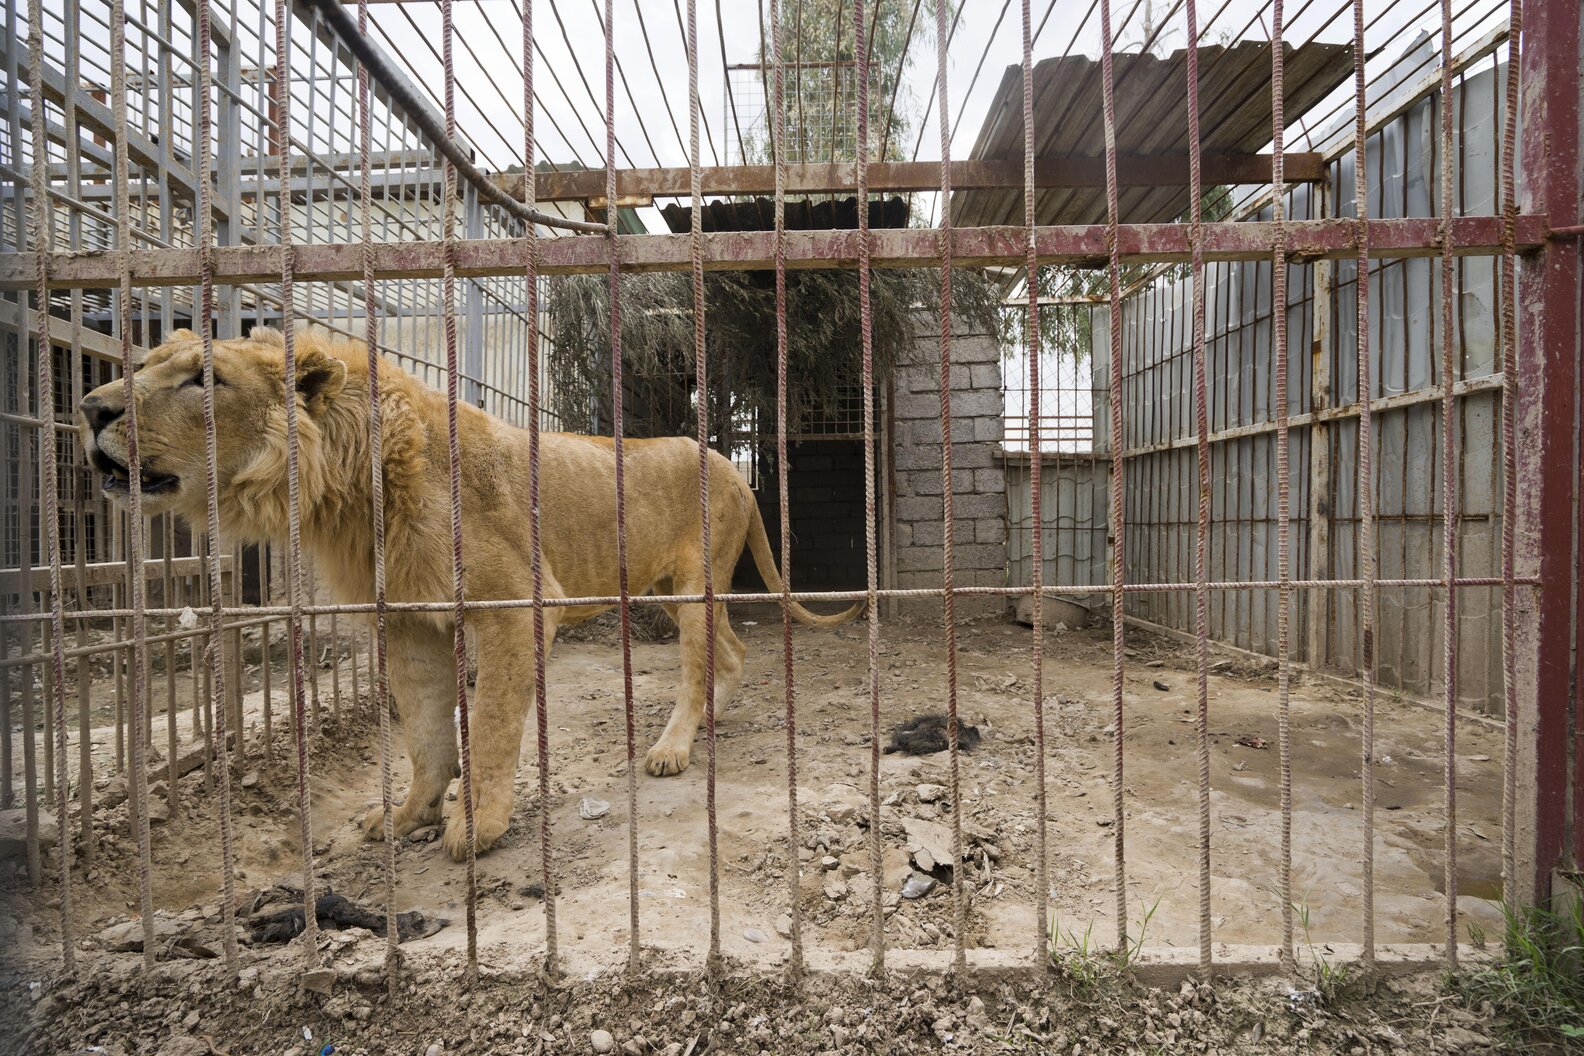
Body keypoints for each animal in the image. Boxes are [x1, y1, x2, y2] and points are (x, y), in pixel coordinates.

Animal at [80, 326, 862, 861]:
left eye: (201, 380)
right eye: (143, 365)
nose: (89, 408)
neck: (352, 490)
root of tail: (732, 466)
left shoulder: (515, 605)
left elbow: (486, 724)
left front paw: (476, 825)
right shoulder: (404, 623)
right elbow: (426, 731)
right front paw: (410, 815)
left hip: (695, 582)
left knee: (702, 660)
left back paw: (675, 745)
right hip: (672, 591)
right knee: (728, 650)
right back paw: (710, 718)